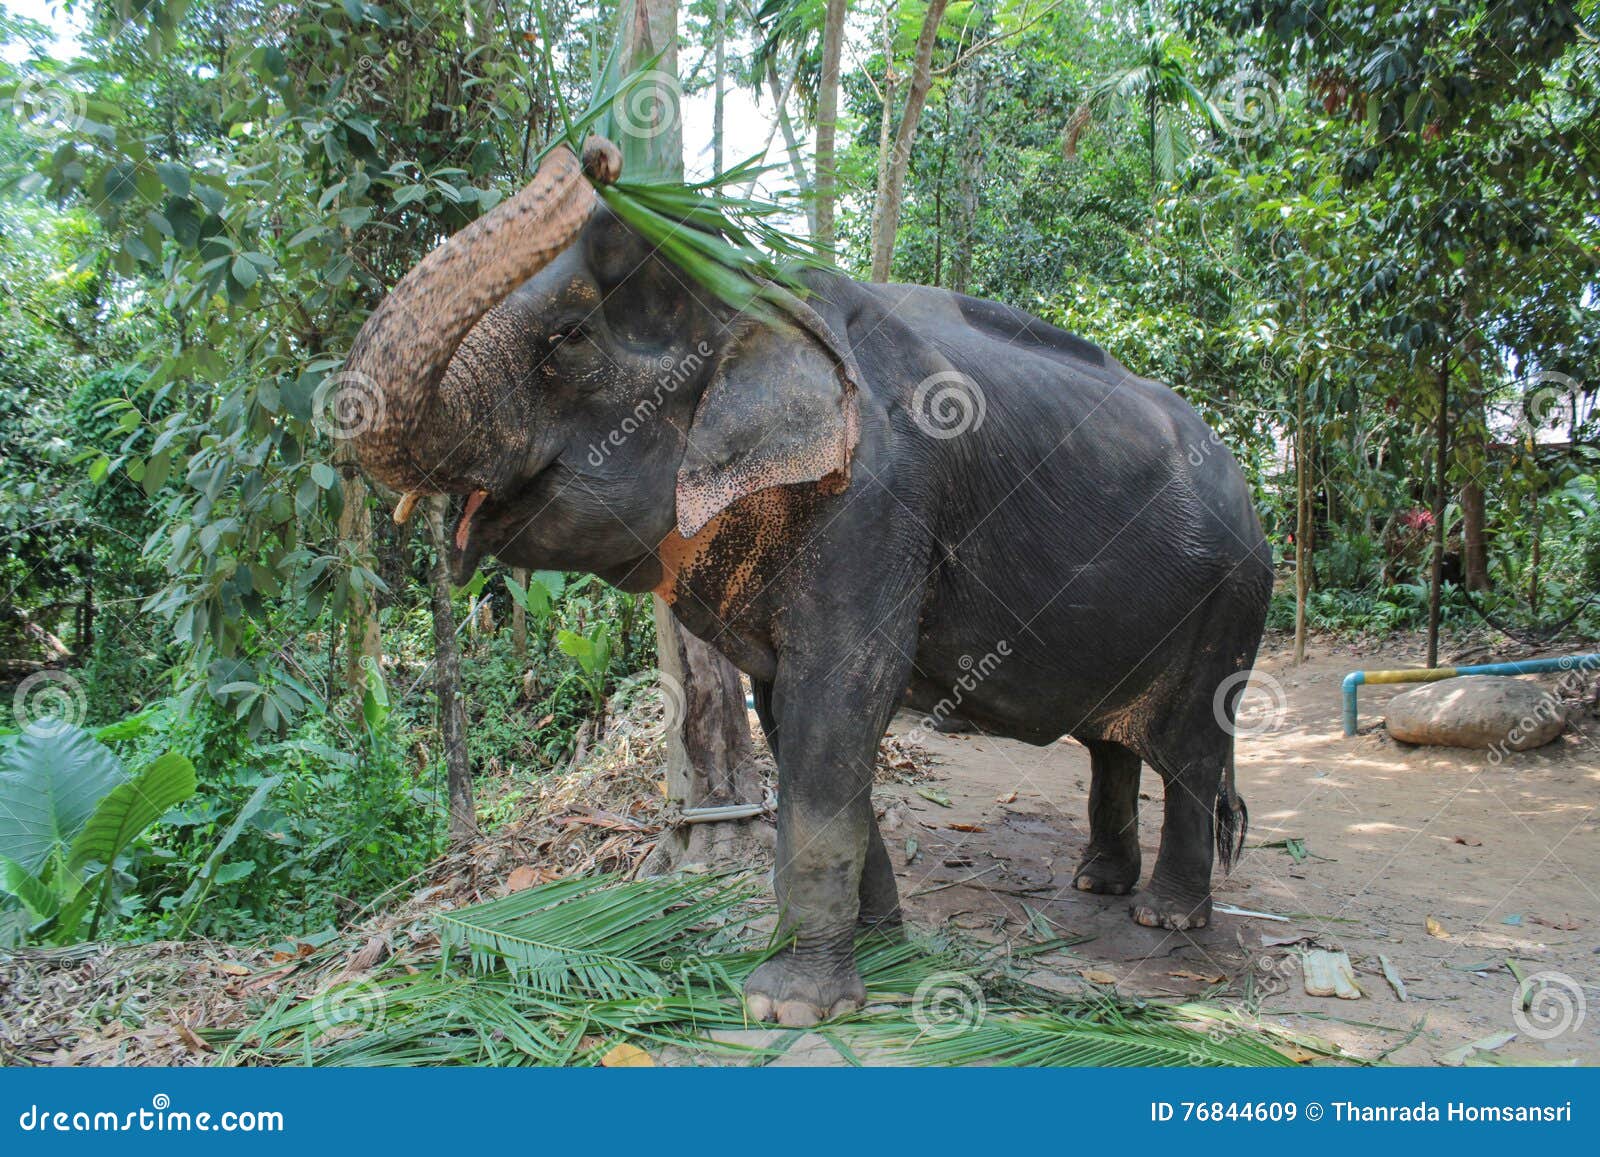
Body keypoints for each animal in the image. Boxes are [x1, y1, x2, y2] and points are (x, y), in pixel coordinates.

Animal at [347, 139, 1273, 1026]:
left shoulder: (878, 501)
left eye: (569, 338)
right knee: (1112, 744)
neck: (759, 293)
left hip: (1231, 601)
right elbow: (787, 713)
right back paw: (1097, 882)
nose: (598, 155)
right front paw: (878, 940)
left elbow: (837, 699)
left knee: (1193, 747)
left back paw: (1166, 914)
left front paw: (788, 1003)